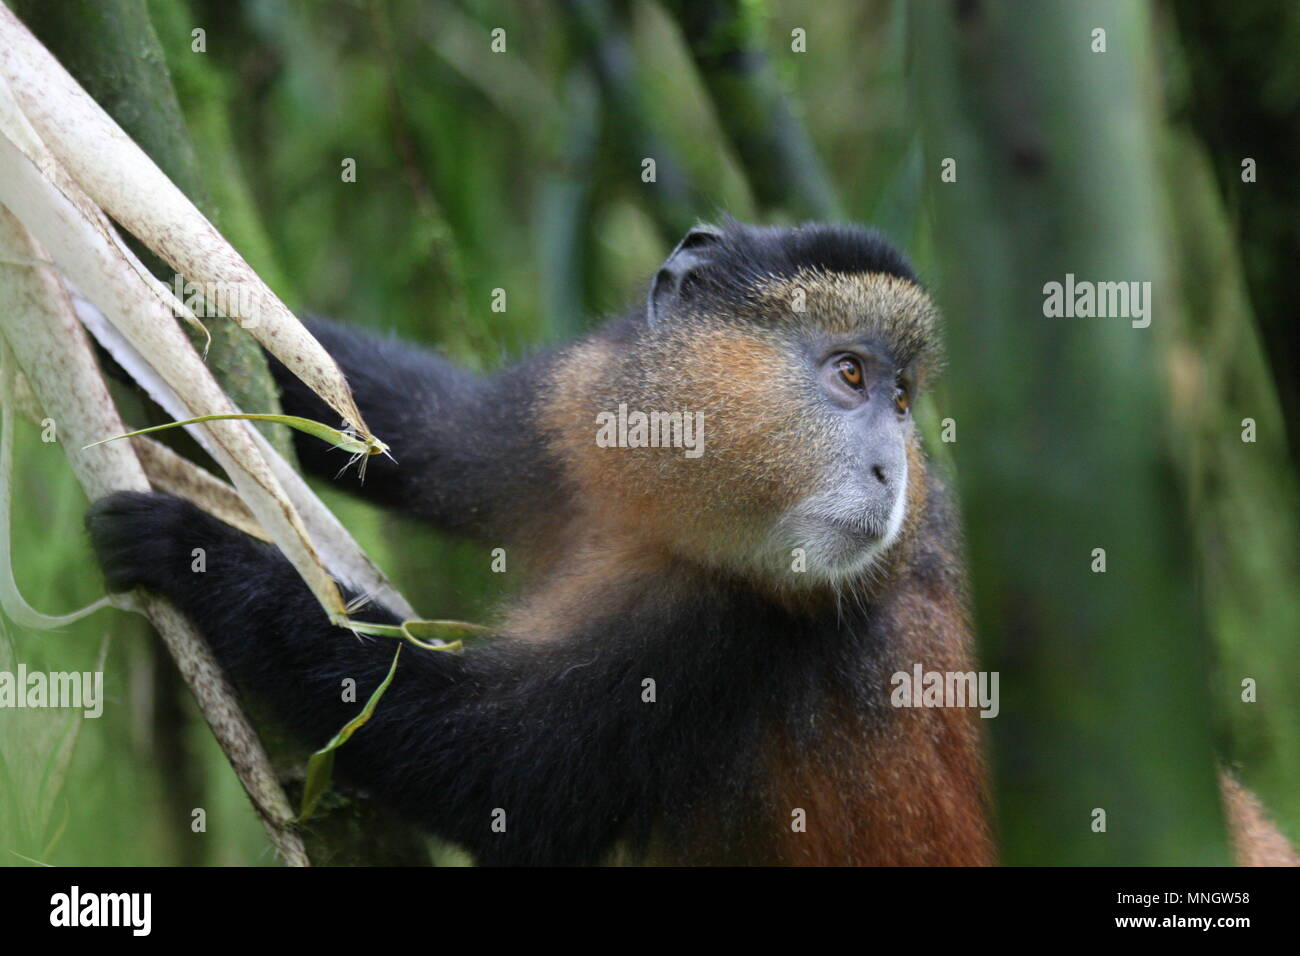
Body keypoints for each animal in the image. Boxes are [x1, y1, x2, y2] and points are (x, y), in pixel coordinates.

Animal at [85, 220, 1292, 866]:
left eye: (902, 402)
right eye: (851, 376)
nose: (892, 470)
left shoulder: (725, 636)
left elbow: (503, 777)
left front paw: (199, 551)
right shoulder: (565, 419)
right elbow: (410, 429)